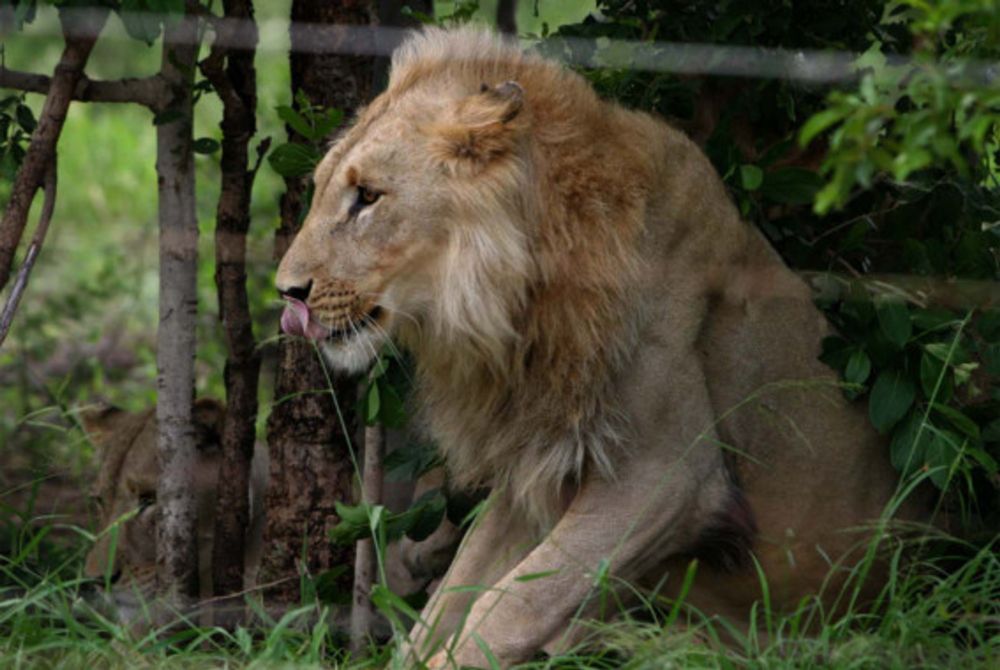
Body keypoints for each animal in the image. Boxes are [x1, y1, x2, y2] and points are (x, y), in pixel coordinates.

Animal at [275, 28, 928, 667]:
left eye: (368, 196)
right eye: (323, 188)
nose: (286, 293)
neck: (522, 307)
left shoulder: (669, 475)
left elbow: (511, 607)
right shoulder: (535, 463)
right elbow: (453, 602)